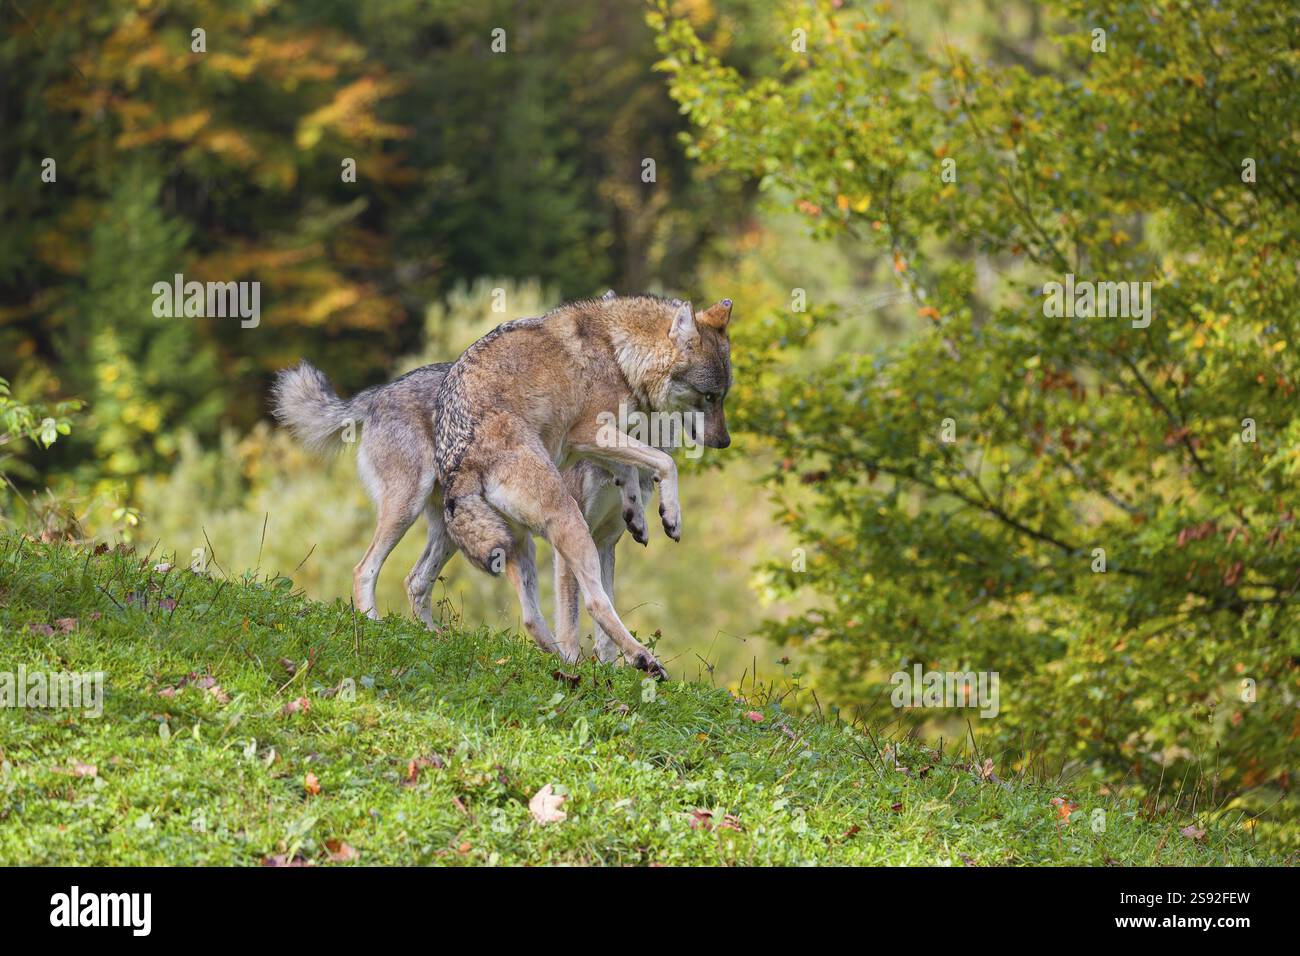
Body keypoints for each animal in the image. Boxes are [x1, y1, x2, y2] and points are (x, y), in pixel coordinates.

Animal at [433, 293, 734, 680]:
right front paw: (671, 516)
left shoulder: (590, 447)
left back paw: (568, 668)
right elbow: (665, 463)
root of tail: (457, 463)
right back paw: (642, 659)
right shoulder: (592, 433)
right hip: (569, 521)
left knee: (532, 619)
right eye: (709, 397)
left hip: (521, 544)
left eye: (723, 396)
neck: (618, 356)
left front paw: (638, 515)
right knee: (594, 602)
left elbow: (630, 469)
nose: (725, 442)